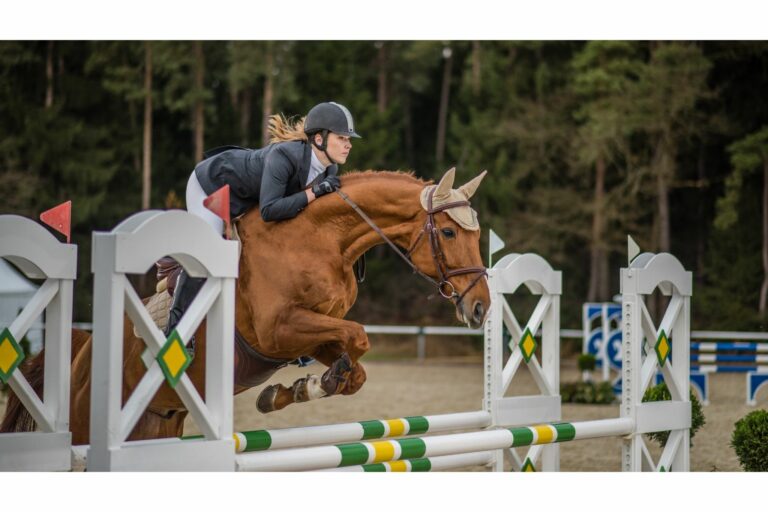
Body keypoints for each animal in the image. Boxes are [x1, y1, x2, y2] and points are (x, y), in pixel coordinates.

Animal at [1, 167, 490, 445]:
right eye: (449, 233)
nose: (481, 308)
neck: (321, 239)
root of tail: (83, 350)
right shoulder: (278, 332)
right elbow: (359, 337)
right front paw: (303, 387)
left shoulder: (313, 332)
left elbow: (355, 364)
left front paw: (299, 388)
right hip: (89, 420)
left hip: (155, 424)